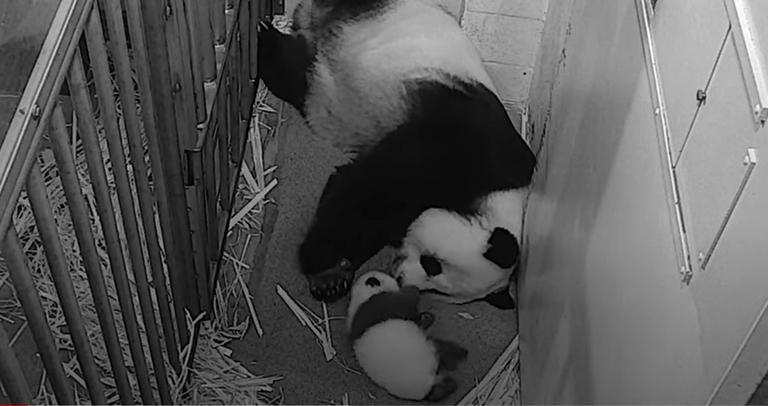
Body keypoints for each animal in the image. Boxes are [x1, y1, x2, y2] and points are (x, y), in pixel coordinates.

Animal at [347, 270, 468, 402]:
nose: (396, 278)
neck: (362, 296)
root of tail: (428, 383)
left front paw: (426, 317)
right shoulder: (381, 304)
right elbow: (405, 300)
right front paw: (413, 288)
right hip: (427, 350)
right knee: (443, 350)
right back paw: (459, 357)